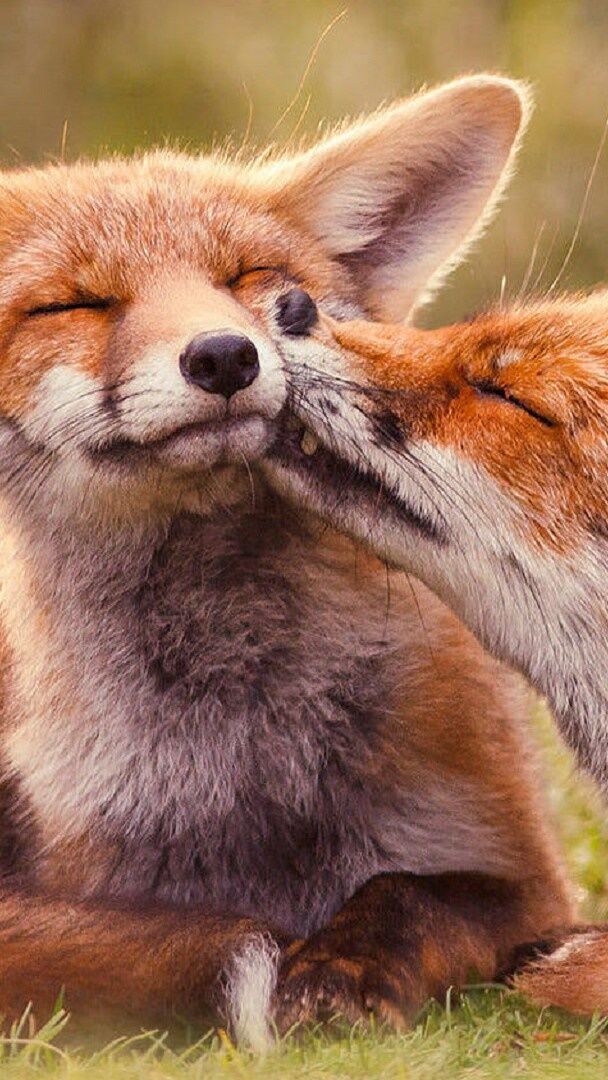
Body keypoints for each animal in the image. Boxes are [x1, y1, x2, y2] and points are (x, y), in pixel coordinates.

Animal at [0, 75, 573, 1044]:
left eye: (254, 282)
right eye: (75, 304)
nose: (225, 355)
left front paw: (343, 969)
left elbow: (410, 894)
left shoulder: (532, 883)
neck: (234, 743)